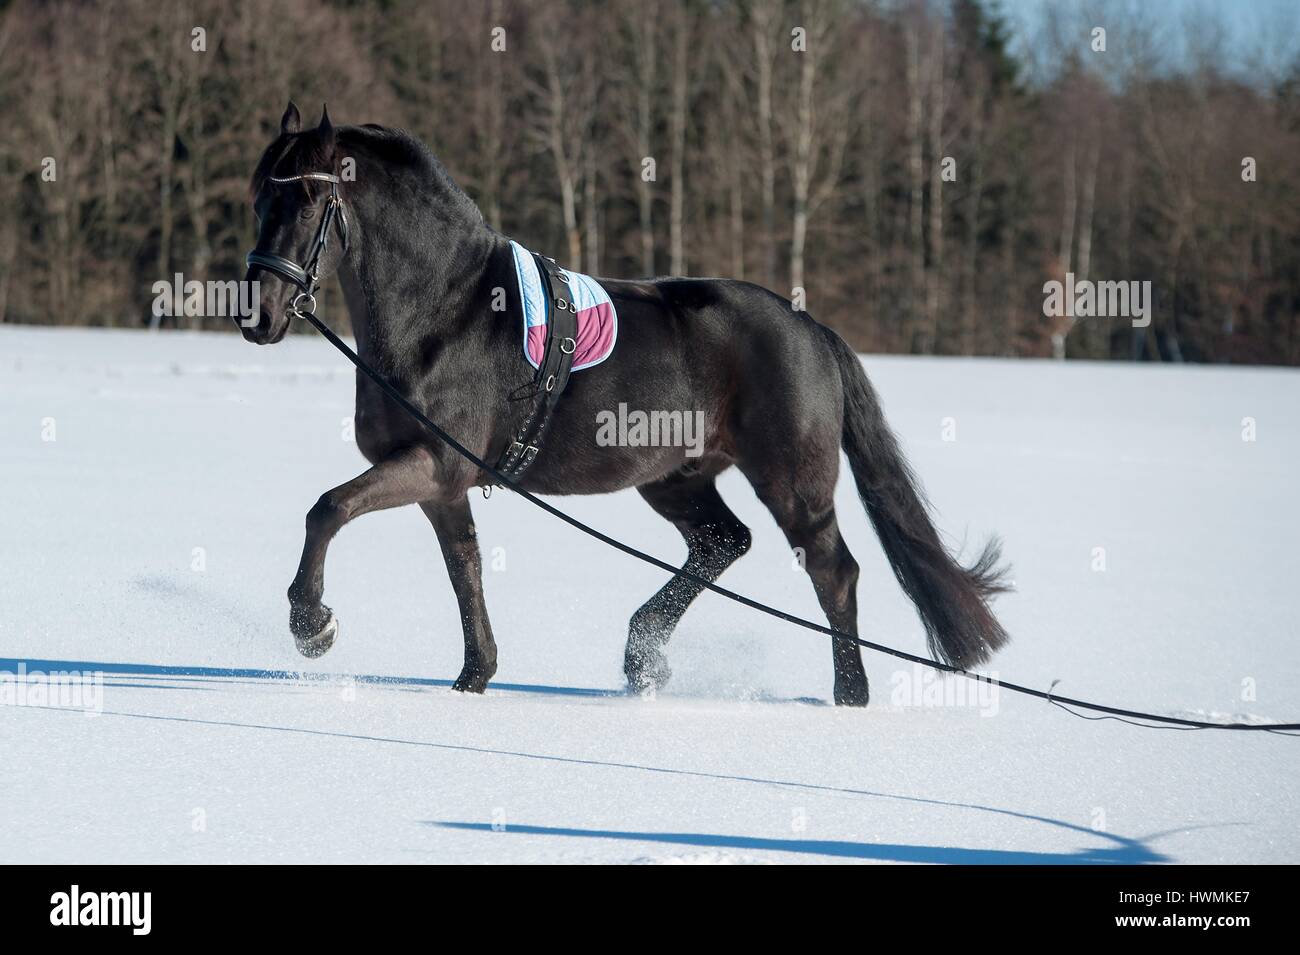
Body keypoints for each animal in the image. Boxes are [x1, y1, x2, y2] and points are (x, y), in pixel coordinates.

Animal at [240, 102, 1010, 706]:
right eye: (258, 201)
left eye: (305, 202)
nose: (258, 316)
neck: (445, 310)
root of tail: (808, 328)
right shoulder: (442, 482)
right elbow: (466, 570)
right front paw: (474, 674)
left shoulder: (431, 461)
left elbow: (328, 508)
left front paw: (312, 625)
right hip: (675, 477)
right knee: (724, 541)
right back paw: (644, 657)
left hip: (793, 484)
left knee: (834, 571)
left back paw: (849, 693)